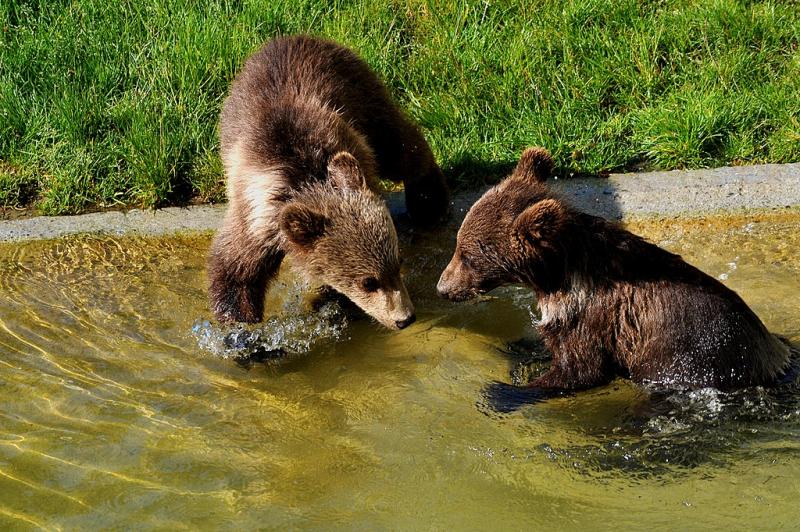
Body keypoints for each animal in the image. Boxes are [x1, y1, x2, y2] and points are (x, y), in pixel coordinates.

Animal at [208, 35, 448, 329]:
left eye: (398, 263)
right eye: (369, 282)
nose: (404, 319)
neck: (304, 180)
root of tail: (293, 37)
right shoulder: (257, 219)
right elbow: (236, 270)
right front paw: (241, 328)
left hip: (362, 98)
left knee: (399, 146)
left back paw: (428, 202)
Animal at [437, 146, 790, 394]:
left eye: (466, 255)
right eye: (458, 247)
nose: (442, 287)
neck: (556, 276)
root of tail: (776, 362)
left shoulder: (593, 315)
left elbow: (580, 368)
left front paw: (505, 391)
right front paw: (520, 346)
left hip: (696, 358)